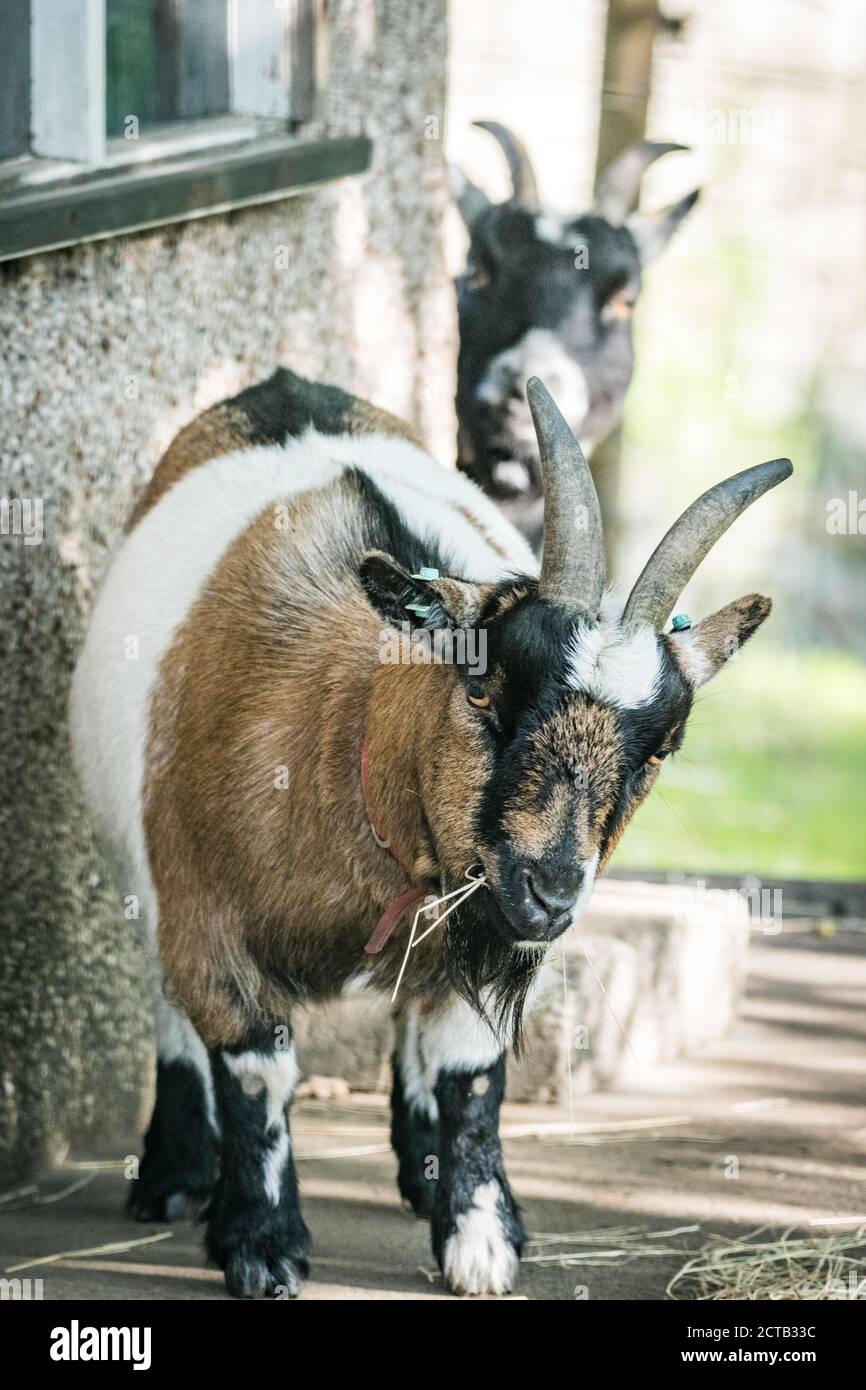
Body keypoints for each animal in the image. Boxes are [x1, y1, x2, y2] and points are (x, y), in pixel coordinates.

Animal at [70, 366, 790, 1298]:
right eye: (482, 691)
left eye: (662, 747)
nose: (550, 892)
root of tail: (282, 384)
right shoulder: (205, 921)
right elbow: (256, 1074)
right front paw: (262, 1246)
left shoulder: (480, 928)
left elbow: (469, 1075)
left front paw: (480, 1238)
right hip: (141, 872)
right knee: (167, 1005)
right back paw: (174, 1174)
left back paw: (419, 1168)